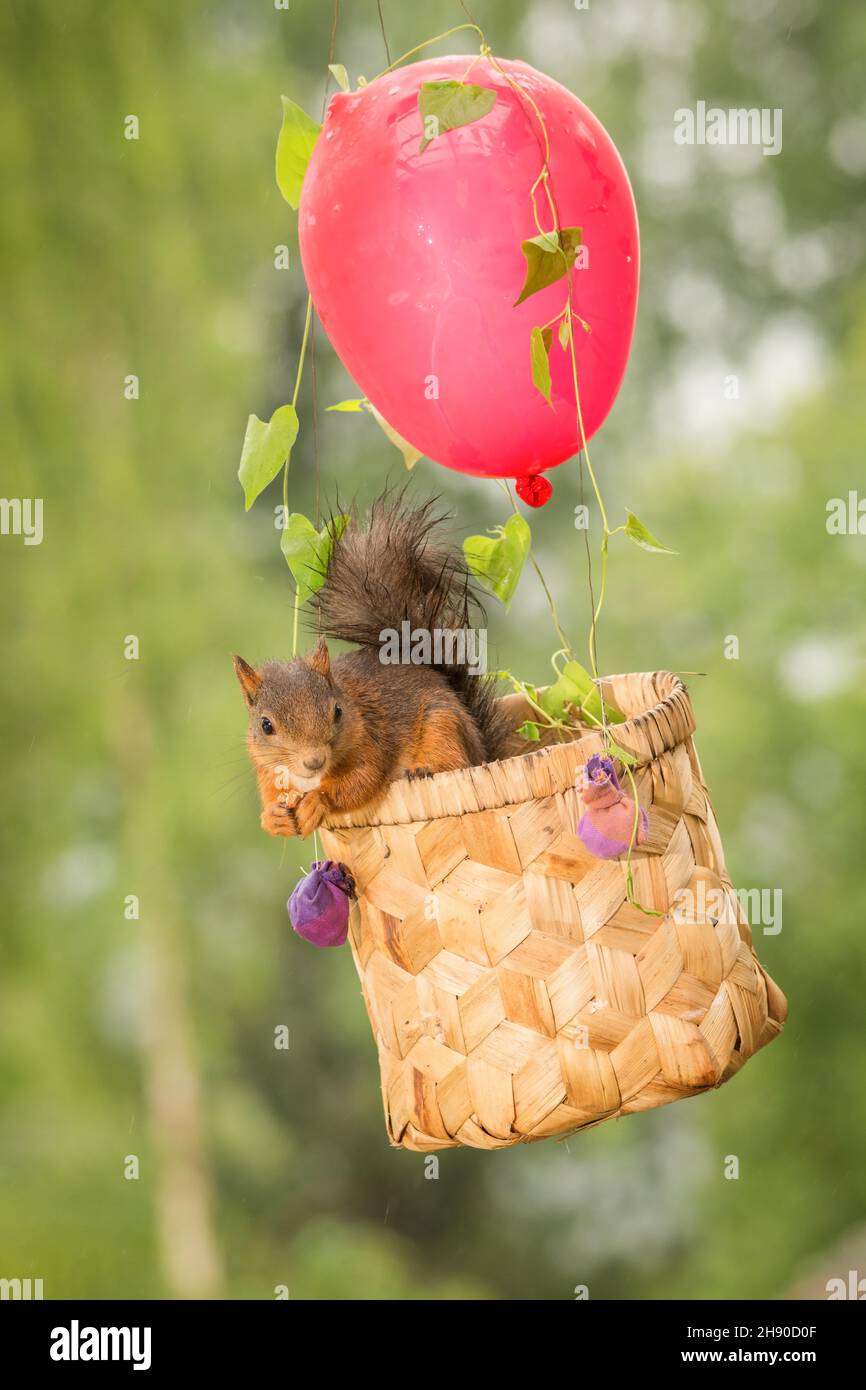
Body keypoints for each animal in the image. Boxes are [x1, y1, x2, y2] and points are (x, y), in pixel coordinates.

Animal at [233, 495, 512, 839]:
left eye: (338, 711)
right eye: (266, 725)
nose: (314, 761)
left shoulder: (373, 740)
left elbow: (362, 781)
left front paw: (317, 801)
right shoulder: (267, 768)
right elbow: (272, 795)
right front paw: (273, 817)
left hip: (442, 724)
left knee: (455, 761)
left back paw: (423, 769)